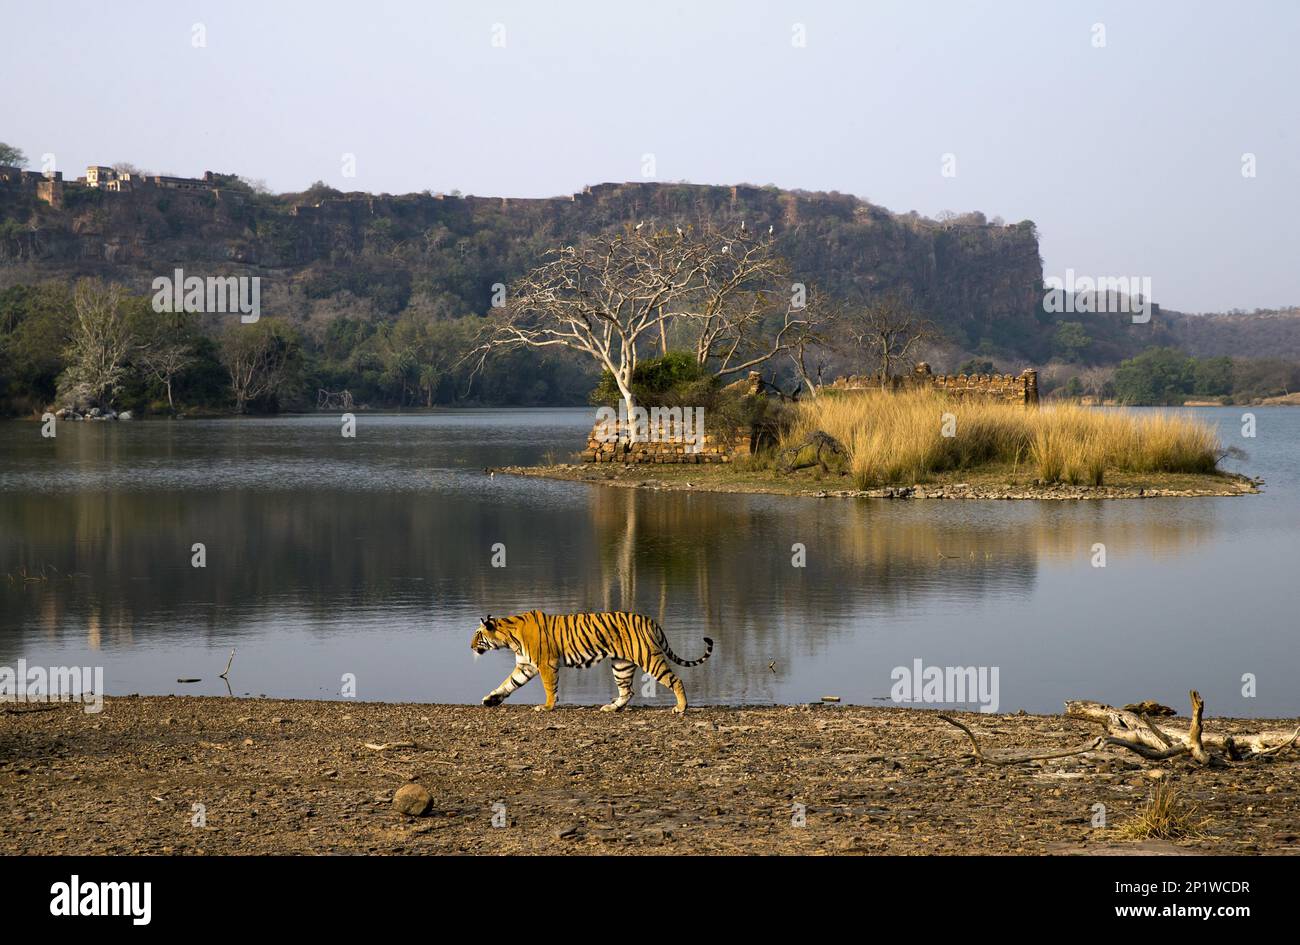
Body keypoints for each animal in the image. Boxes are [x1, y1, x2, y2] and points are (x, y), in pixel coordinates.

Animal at [470, 610, 713, 714]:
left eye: (477, 635)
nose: (471, 647)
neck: (509, 636)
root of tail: (649, 620)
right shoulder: (525, 666)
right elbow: (508, 684)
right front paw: (491, 700)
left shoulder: (545, 664)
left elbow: (549, 688)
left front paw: (547, 706)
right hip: (621, 664)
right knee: (628, 691)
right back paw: (612, 707)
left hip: (649, 658)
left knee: (676, 680)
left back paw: (681, 707)